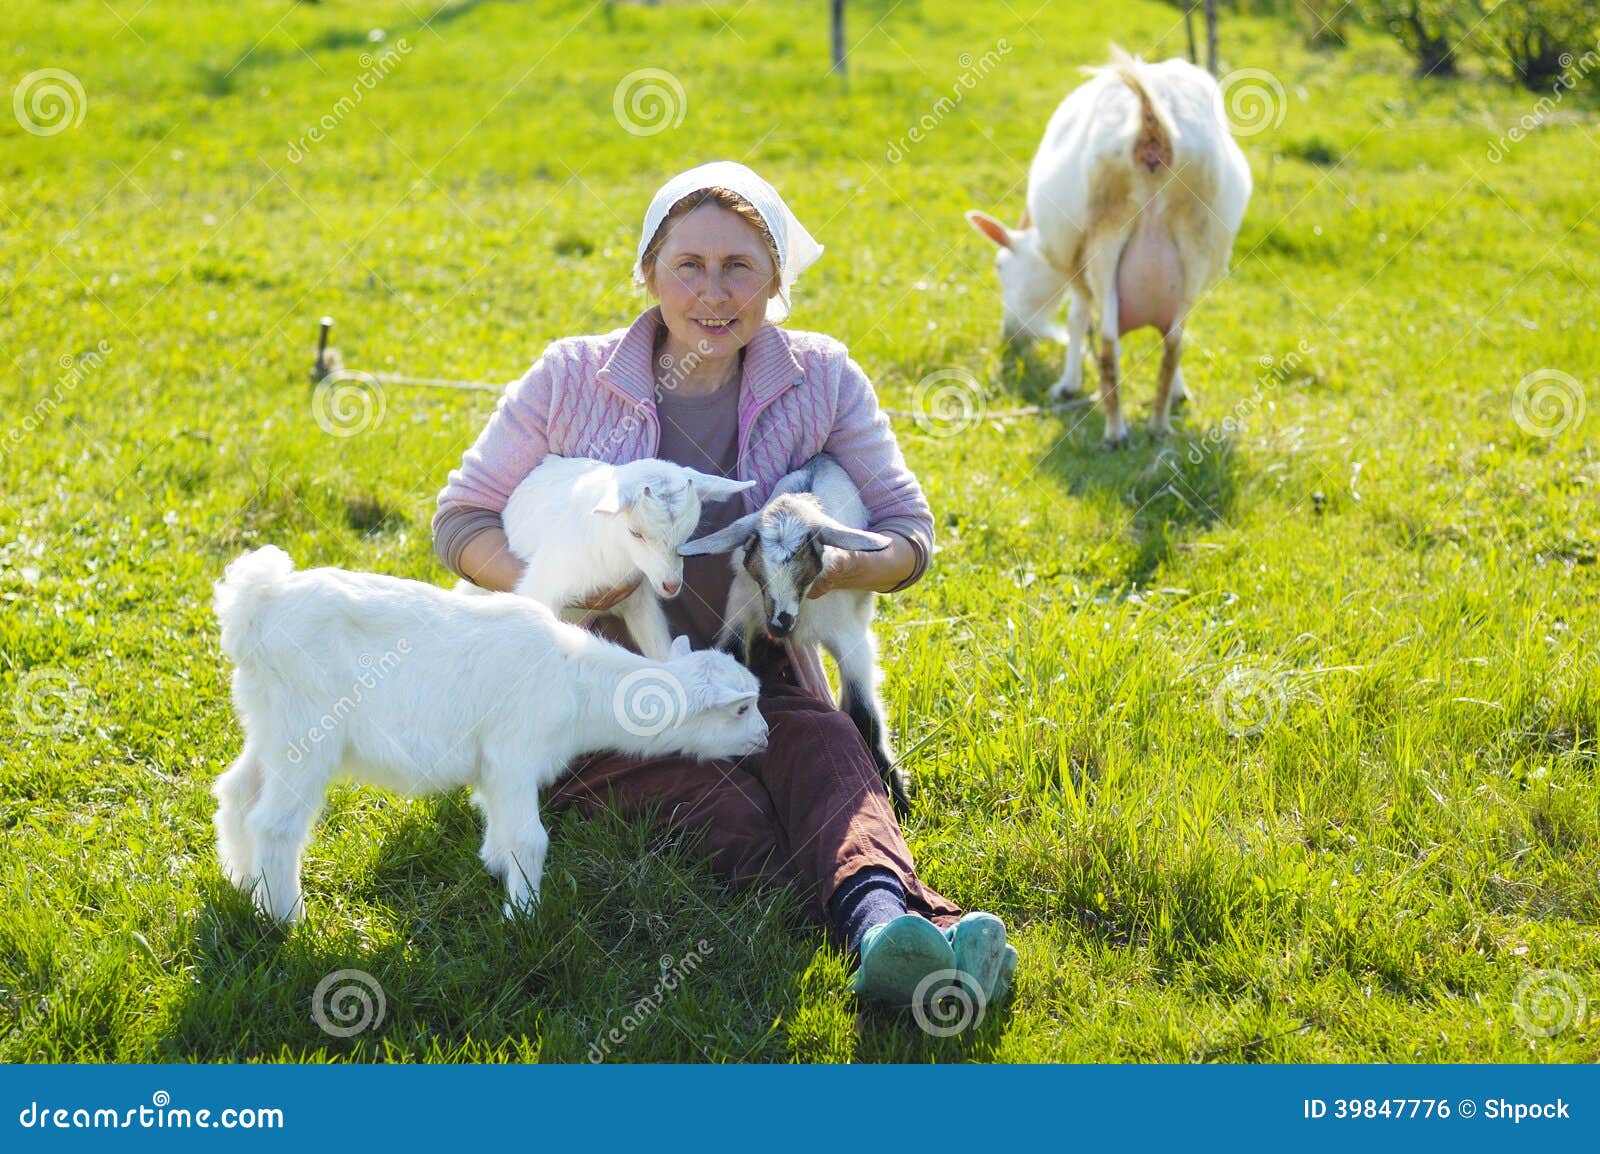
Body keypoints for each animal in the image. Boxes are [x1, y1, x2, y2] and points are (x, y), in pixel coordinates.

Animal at [212, 546, 767, 923]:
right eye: (741, 708)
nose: (764, 738)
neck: (577, 680)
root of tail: (255, 606)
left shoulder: (497, 768)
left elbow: (498, 820)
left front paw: (497, 867)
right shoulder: (515, 754)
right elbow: (530, 838)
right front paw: (523, 916)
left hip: (269, 724)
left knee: (237, 793)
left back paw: (242, 883)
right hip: (307, 734)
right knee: (275, 824)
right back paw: (284, 917)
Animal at [679, 454, 911, 817]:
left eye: (807, 558)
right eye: (756, 564)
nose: (779, 625)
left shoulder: (851, 640)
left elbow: (863, 711)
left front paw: (896, 795)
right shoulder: (741, 610)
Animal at [968, 47, 1251, 446]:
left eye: (1000, 267)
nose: (1012, 337)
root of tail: (1152, 127)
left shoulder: (1074, 266)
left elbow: (1077, 319)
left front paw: (1067, 385)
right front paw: (1180, 393)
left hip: (1105, 238)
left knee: (1107, 345)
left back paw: (1115, 433)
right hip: (1196, 242)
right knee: (1174, 344)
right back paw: (1159, 425)